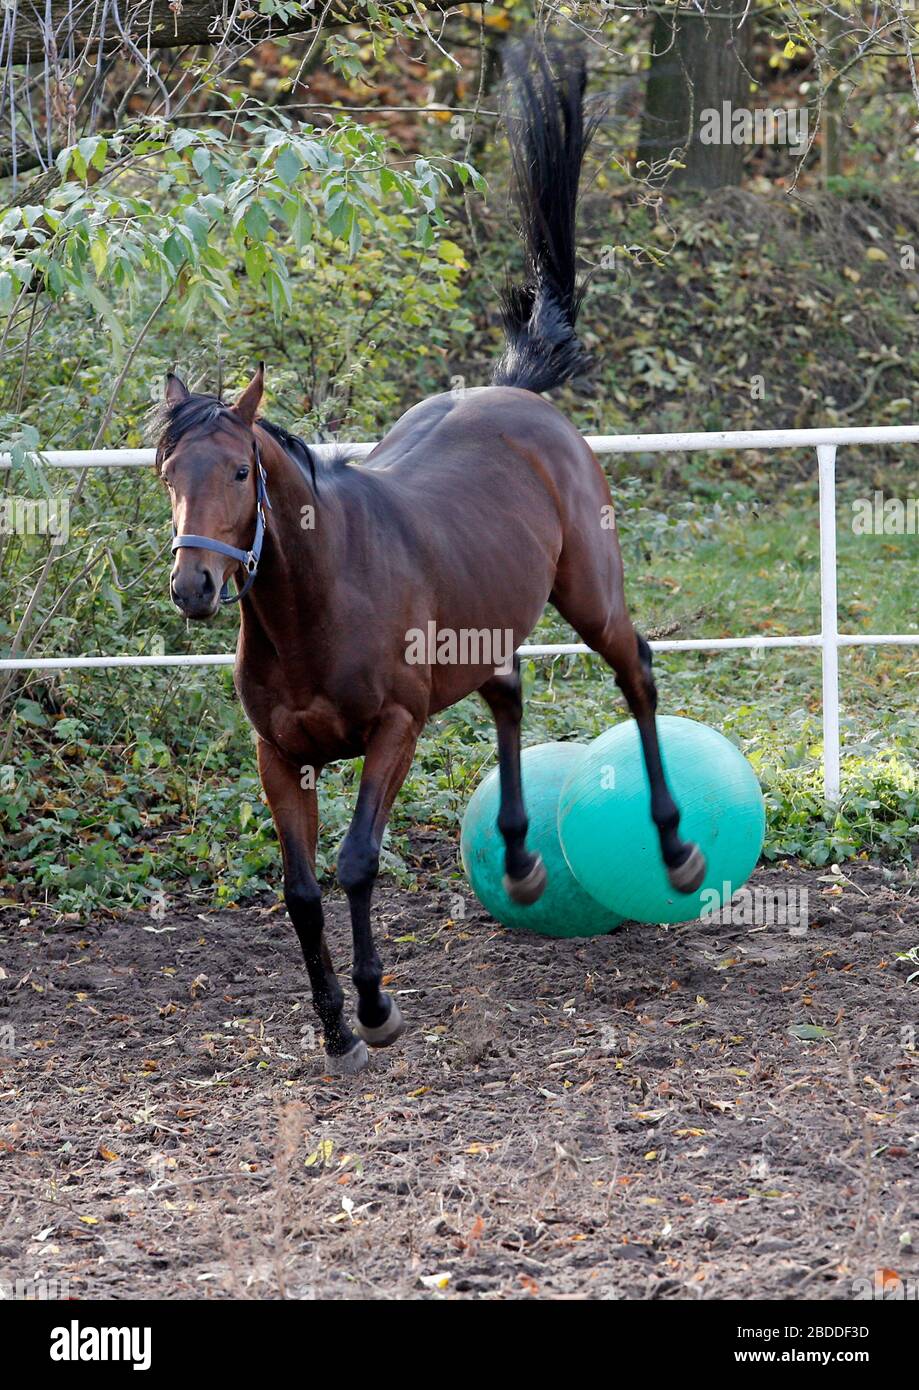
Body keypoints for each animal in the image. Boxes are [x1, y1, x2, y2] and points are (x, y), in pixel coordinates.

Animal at [156, 43, 706, 1075]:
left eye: (242, 471)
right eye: (165, 469)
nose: (193, 585)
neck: (314, 605)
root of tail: (517, 394)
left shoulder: (395, 731)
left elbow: (356, 864)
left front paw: (374, 1009)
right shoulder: (278, 757)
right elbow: (299, 891)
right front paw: (335, 1028)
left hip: (590, 597)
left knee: (638, 675)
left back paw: (676, 850)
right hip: (486, 622)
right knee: (510, 694)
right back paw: (523, 865)